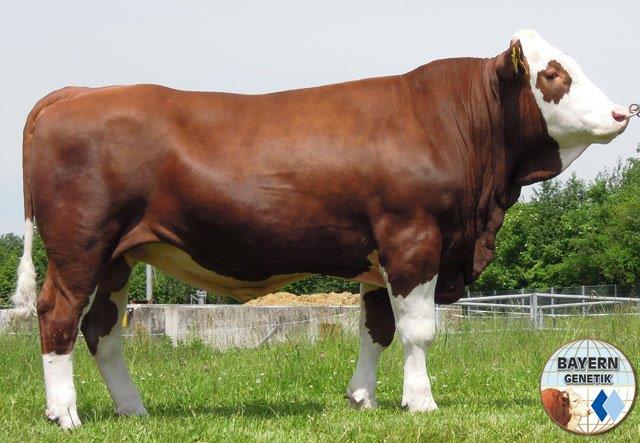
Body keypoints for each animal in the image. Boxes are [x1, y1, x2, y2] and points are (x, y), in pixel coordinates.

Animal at [11, 29, 630, 429]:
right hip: (80, 245)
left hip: (118, 256)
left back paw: (133, 410)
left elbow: (377, 329)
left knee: (102, 329)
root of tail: (76, 92)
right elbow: (418, 331)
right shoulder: (414, 241)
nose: (623, 113)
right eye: (553, 74)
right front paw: (421, 402)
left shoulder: (381, 257)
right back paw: (64, 413)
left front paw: (363, 399)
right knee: (59, 316)